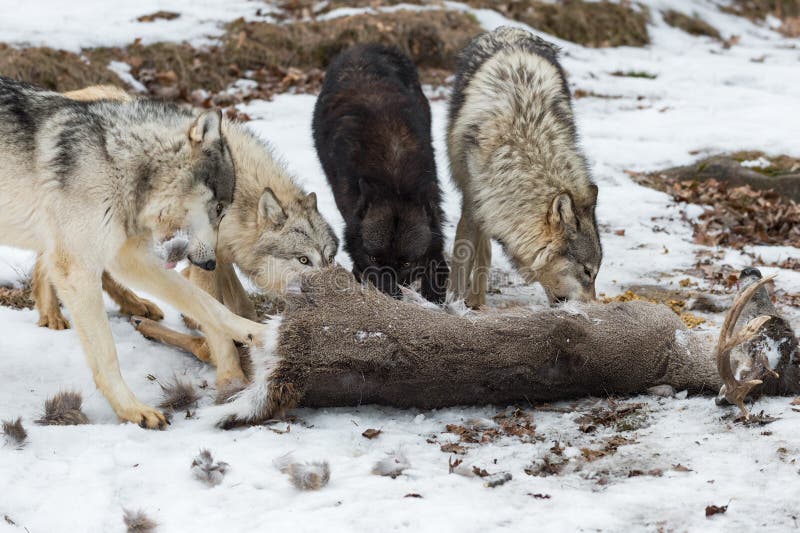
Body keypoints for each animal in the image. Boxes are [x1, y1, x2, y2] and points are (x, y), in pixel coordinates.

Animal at [0, 77, 267, 428]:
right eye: (220, 208)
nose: (210, 264)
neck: (121, 168)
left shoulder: (129, 259)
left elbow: (209, 306)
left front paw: (260, 333)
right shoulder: (75, 268)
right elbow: (107, 355)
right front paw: (131, 409)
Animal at [312, 44, 449, 303]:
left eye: (405, 263)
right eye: (374, 258)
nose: (392, 296)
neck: (394, 179)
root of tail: (361, 47)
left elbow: (437, 259)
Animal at [447, 27, 602, 307]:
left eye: (595, 273)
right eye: (587, 272)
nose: (595, 308)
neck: (525, 137)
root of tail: (511, 29)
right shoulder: (474, 202)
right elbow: (463, 259)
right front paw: (451, 305)